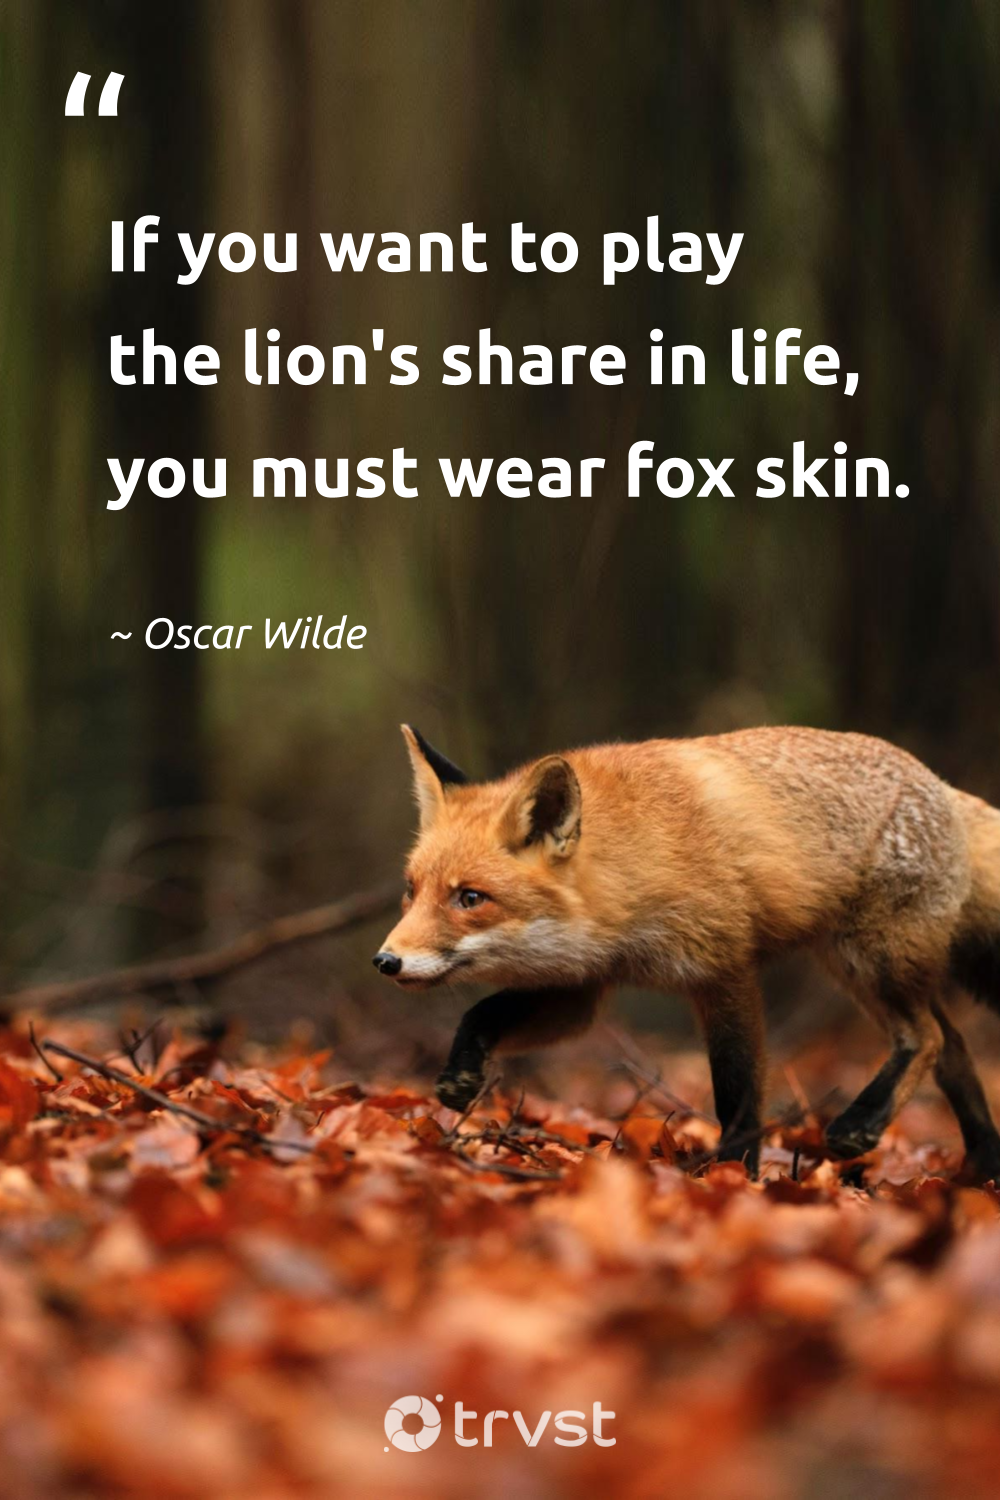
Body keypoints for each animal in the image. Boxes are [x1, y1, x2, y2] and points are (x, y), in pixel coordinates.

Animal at [373, 723, 1000, 1179]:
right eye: (411, 890)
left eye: (469, 898)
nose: (385, 962)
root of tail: (942, 786)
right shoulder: (583, 986)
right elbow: (482, 1012)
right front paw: (460, 1073)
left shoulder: (724, 969)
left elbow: (738, 1095)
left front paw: (735, 1177)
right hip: (865, 967)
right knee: (956, 1048)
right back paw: (984, 1167)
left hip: (870, 961)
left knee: (929, 1038)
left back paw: (863, 1125)